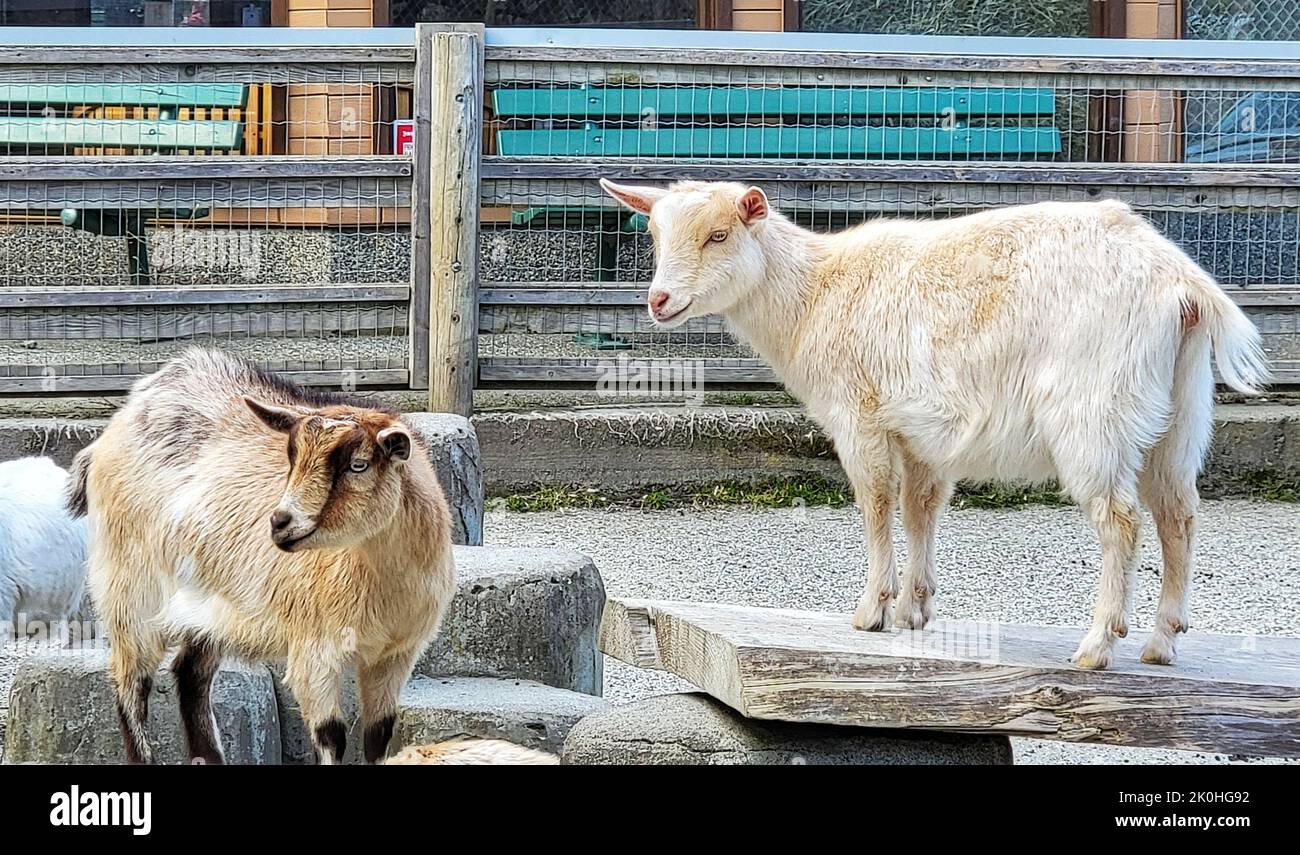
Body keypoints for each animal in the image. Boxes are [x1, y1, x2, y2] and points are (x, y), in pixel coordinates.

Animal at [68, 348, 456, 764]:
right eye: (292, 458)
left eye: (358, 465)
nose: (280, 522)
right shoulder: (314, 651)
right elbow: (331, 735)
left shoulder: (397, 654)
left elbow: (378, 736)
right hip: (130, 592)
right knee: (131, 683)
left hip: (209, 608)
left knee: (190, 673)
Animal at [602, 178, 1269, 670]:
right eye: (655, 234)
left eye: (718, 235)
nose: (659, 301)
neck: (814, 293)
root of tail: (1182, 284)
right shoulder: (923, 432)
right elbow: (920, 508)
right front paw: (914, 611)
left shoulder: (860, 415)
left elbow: (876, 502)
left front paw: (872, 610)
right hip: (1179, 414)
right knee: (1178, 514)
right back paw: (1162, 642)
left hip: (1094, 413)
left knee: (1122, 521)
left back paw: (1098, 644)